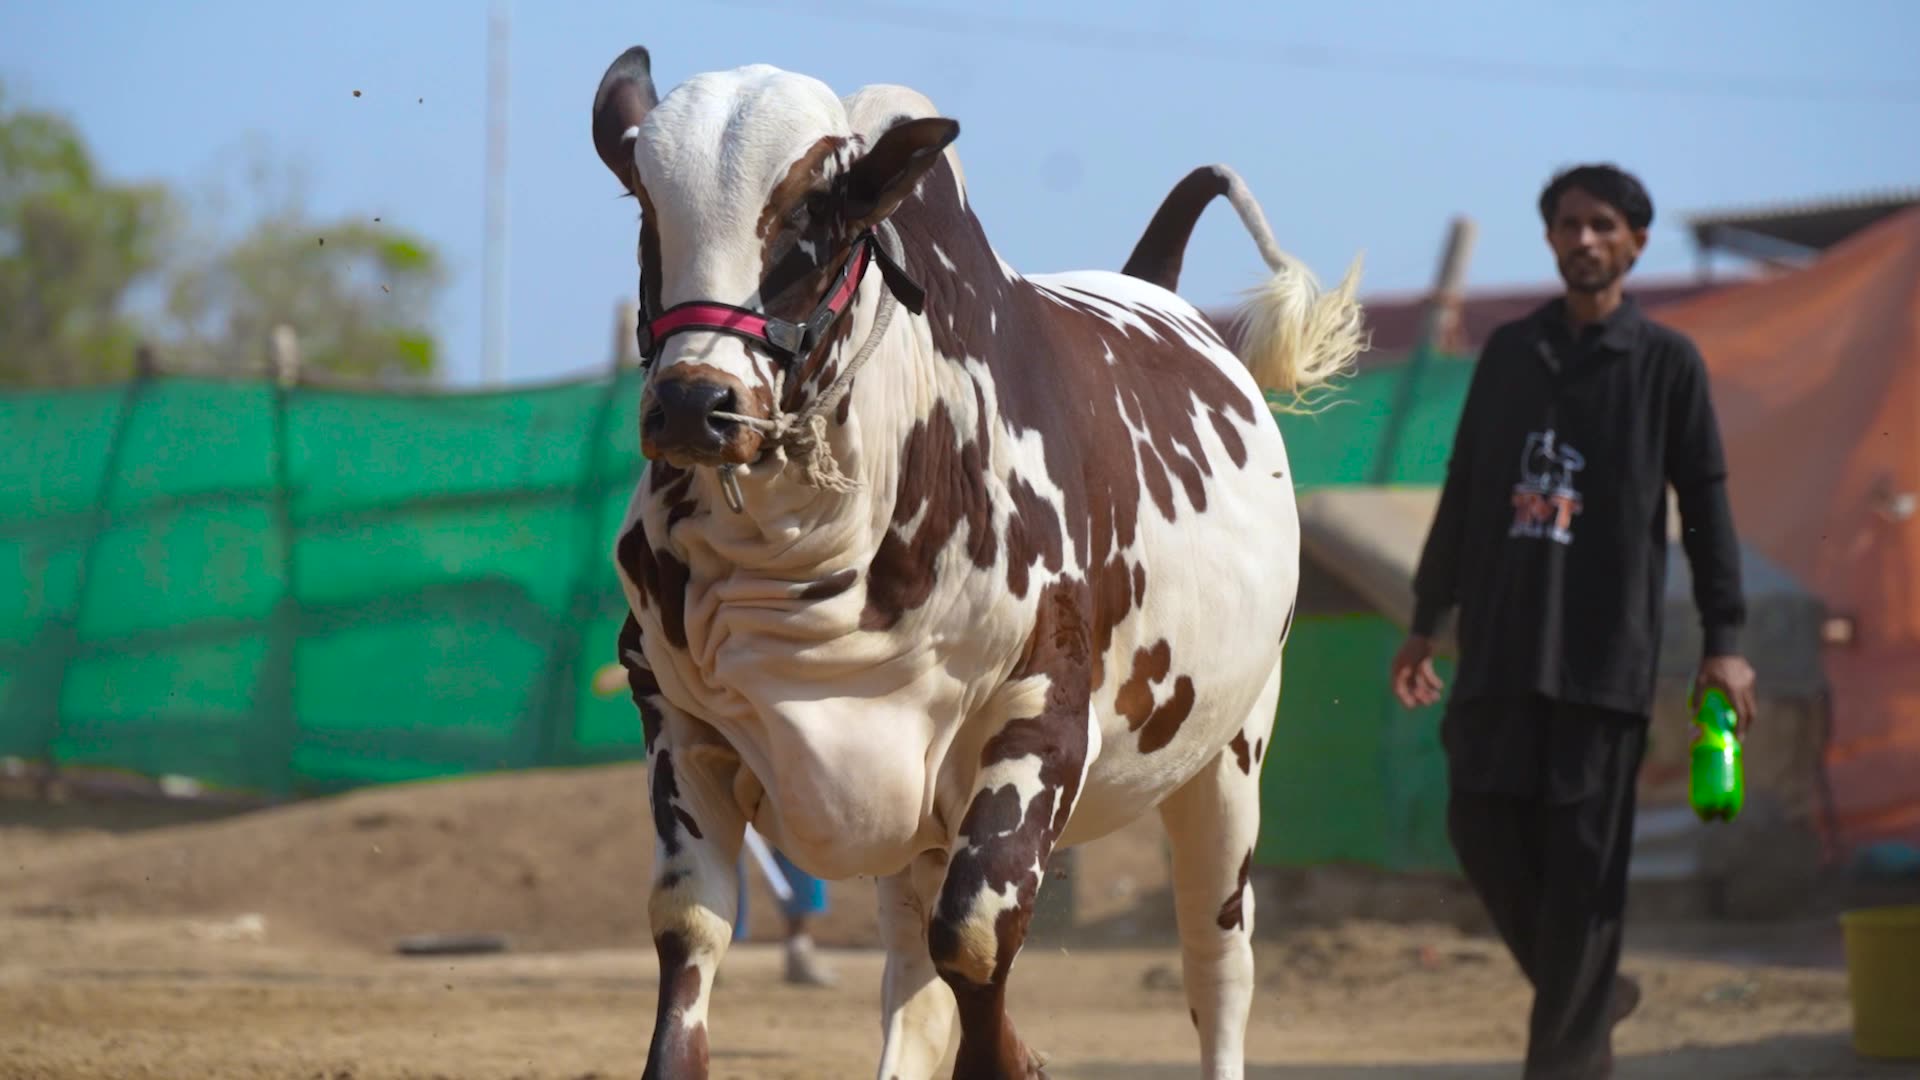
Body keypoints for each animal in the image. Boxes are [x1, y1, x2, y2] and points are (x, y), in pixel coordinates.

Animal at [591, 45, 1366, 1080]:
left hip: (1228, 764)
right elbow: (691, 933)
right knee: (910, 992)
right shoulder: (677, 720)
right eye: (646, 209)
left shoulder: (1039, 722)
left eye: (814, 216)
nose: (692, 403)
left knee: (1216, 969)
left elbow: (975, 940)